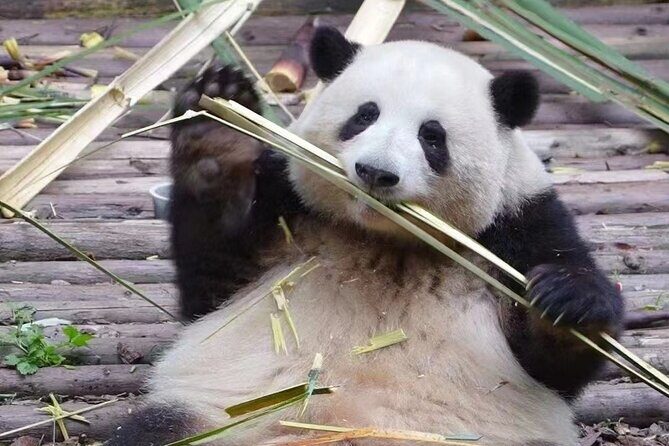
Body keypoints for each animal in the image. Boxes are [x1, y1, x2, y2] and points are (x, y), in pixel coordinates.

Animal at [107, 27, 623, 446]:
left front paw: (568, 302)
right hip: (215, 418)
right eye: (364, 115)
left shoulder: (519, 227)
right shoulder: (286, 210)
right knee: (156, 429)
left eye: (432, 136)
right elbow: (212, 282)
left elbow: (556, 366)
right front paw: (216, 128)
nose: (376, 172)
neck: (386, 241)